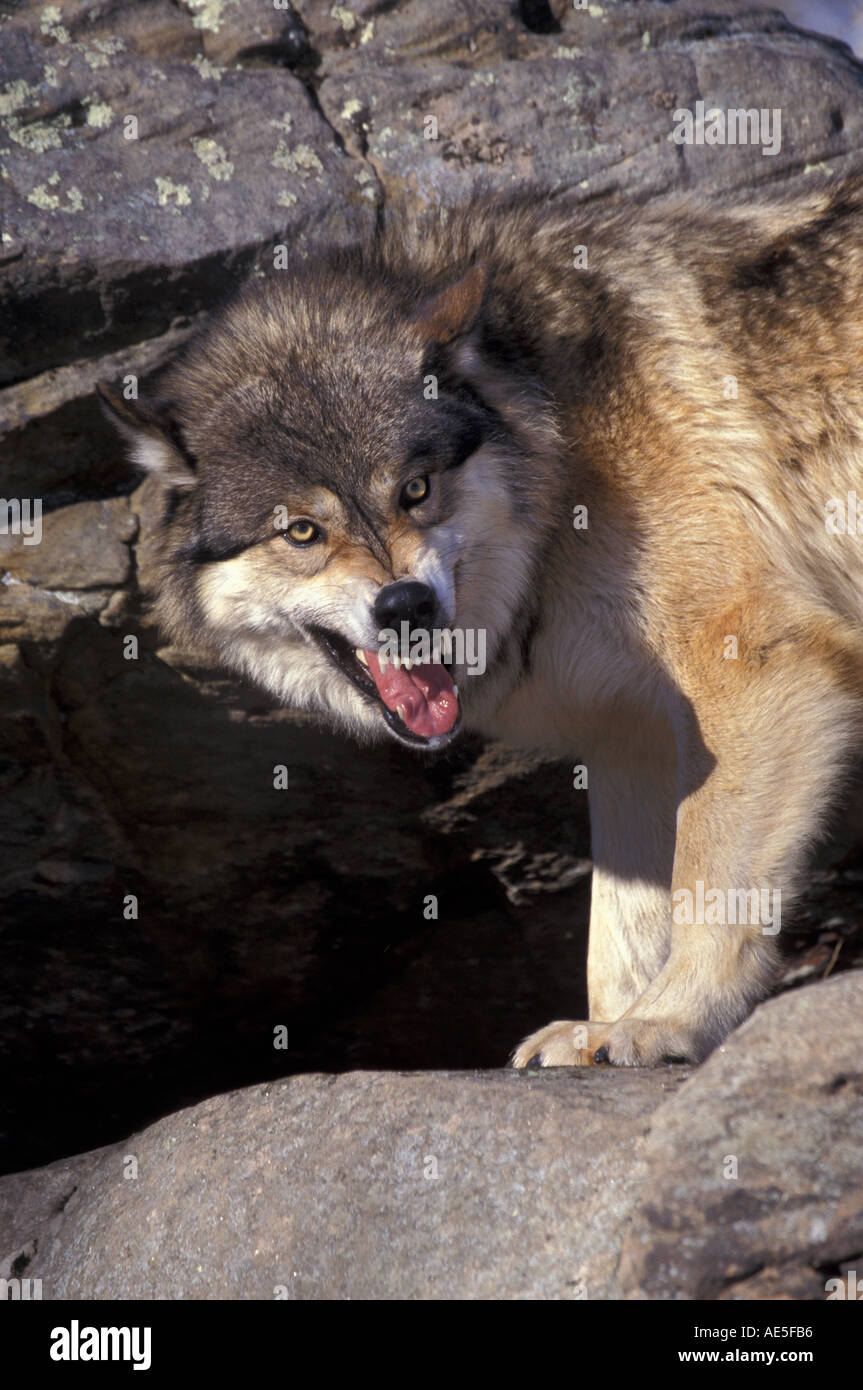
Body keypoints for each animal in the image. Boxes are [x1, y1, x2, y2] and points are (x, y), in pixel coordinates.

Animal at [99, 175, 863, 1068]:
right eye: (302, 532)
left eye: (415, 490)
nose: (406, 606)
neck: (562, 445)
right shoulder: (632, 732)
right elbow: (619, 934)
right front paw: (603, 1029)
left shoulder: (752, 666)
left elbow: (705, 885)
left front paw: (662, 1023)